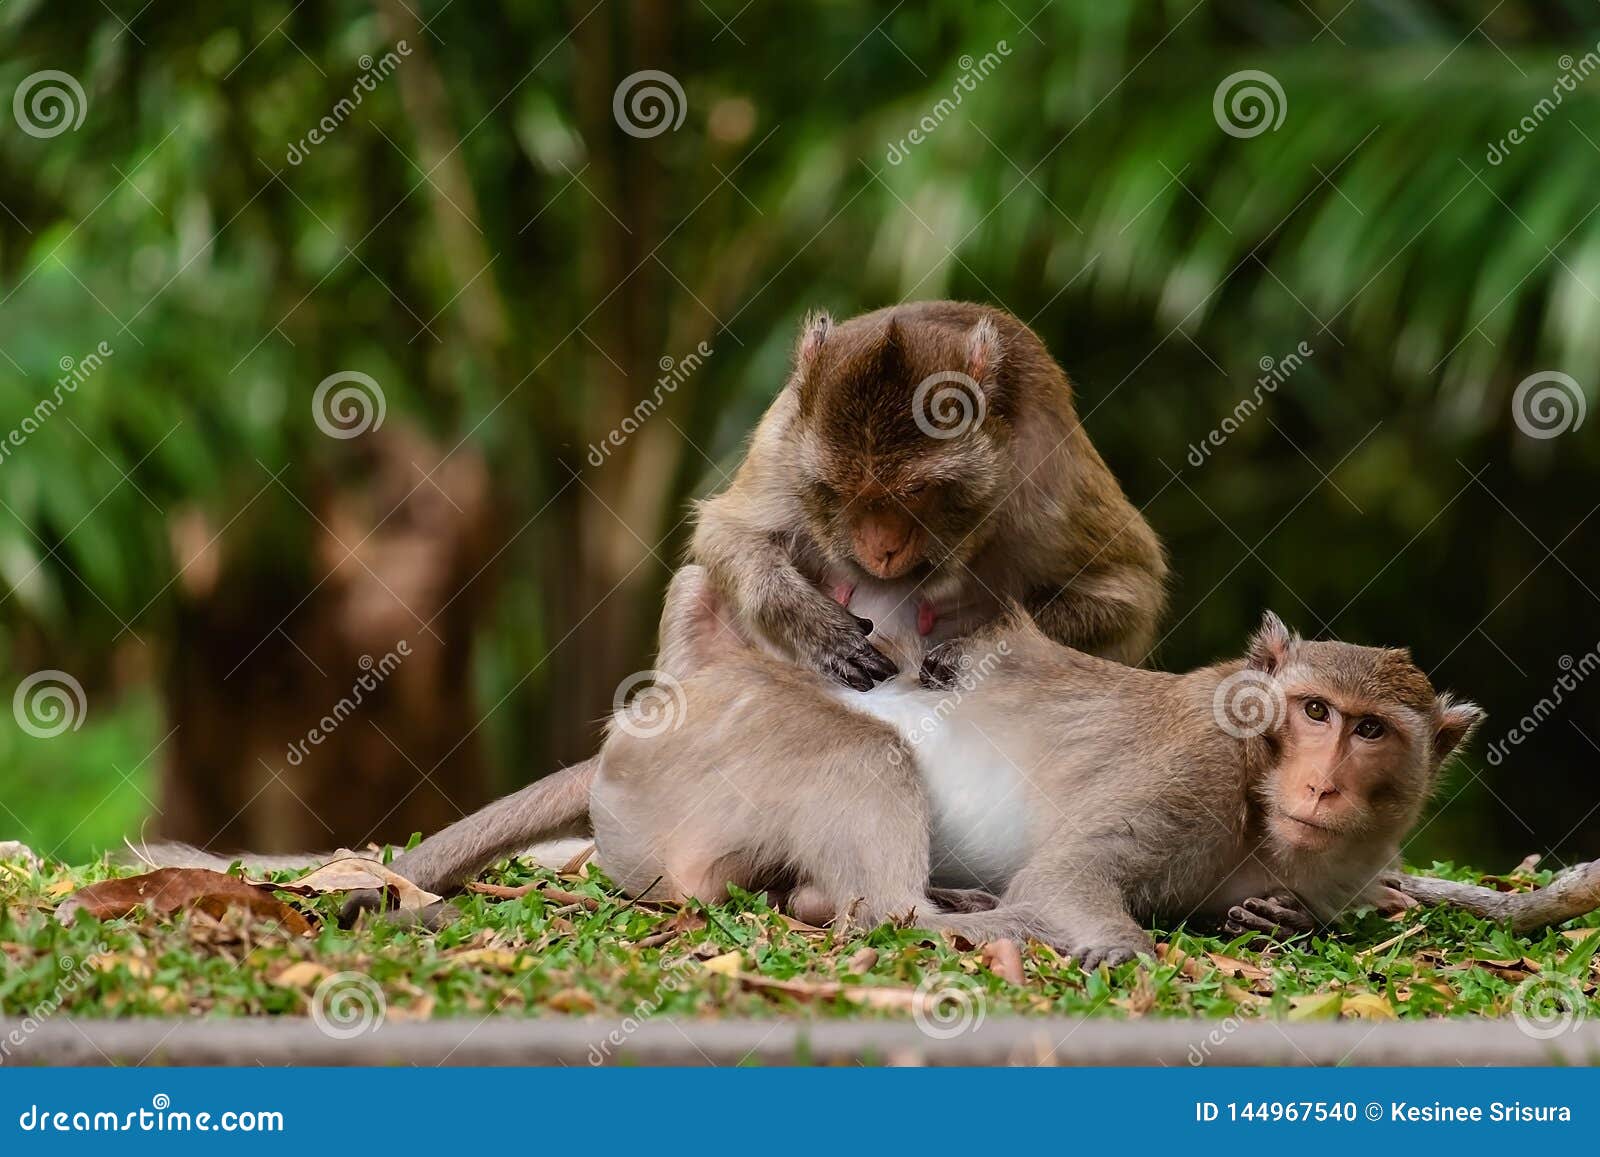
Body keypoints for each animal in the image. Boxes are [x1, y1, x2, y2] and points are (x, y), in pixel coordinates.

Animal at [690, 300, 1168, 688]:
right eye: (842, 490)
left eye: (916, 490)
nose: (882, 548)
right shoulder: (781, 444)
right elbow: (726, 532)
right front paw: (820, 631)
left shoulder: (1045, 481)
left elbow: (1129, 593)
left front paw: (972, 650)